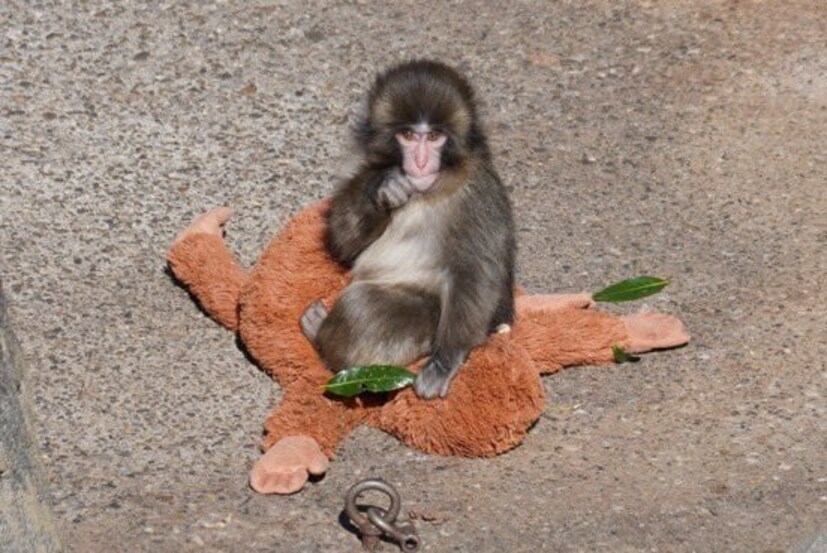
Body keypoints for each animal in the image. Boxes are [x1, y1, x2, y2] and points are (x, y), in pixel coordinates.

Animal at [300, 59, 516, 399]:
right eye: (409, 135)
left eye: (434, 137)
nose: (422, 162)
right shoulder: (361, 162)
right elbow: (344, 241)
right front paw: (383, 188)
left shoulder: (479, 193)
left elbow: (476, 271)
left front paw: (445, 361)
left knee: (363, 310)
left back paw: (319, 333)